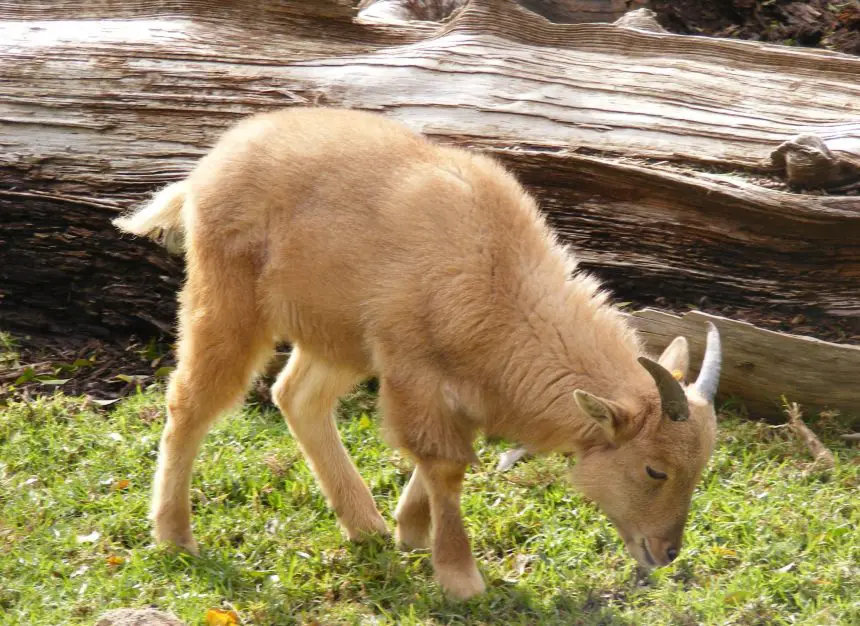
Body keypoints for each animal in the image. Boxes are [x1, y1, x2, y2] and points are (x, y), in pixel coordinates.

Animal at [113, 107, 722, 600]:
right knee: (190, 402)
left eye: (699, 467)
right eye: (654, 469)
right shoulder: (415, 376)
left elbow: (438, 466)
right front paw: (460, 578)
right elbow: (444, 465)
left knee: (297, 397)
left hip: (339, 342)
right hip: (227, 309)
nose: (665, 552)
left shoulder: (454, 387)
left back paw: (367, 526)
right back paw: (175, 537)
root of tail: (207, 168)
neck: (496, 269)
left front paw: (409, 531)